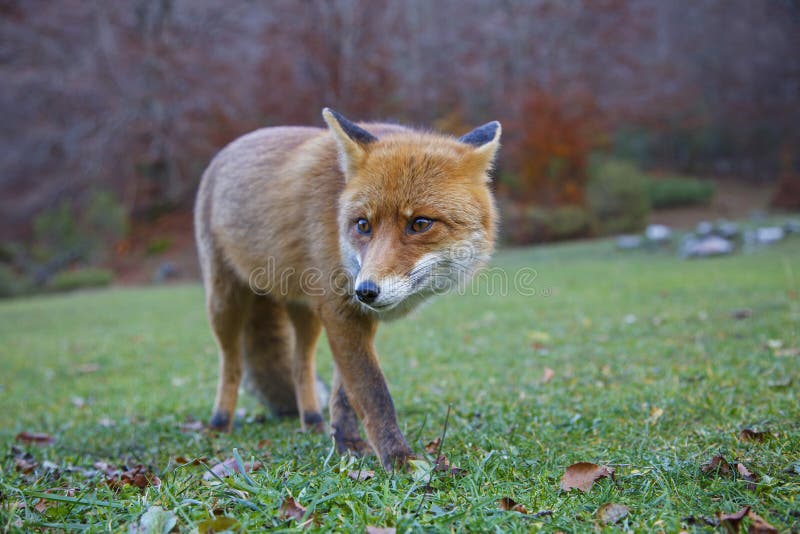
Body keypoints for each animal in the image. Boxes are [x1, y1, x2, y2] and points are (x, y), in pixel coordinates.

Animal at [194, 108, 501, 471]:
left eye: (420, 223)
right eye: (363, 225)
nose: (366, 291)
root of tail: (230, 147)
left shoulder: (351, 314)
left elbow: (345, 391)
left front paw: (347, 442)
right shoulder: (340, 308)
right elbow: (373, 392)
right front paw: (399, 460)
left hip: (306, 313)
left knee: (300, 366)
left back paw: (312, 421)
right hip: (224, 304)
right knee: (231, 363)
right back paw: (219, 423)